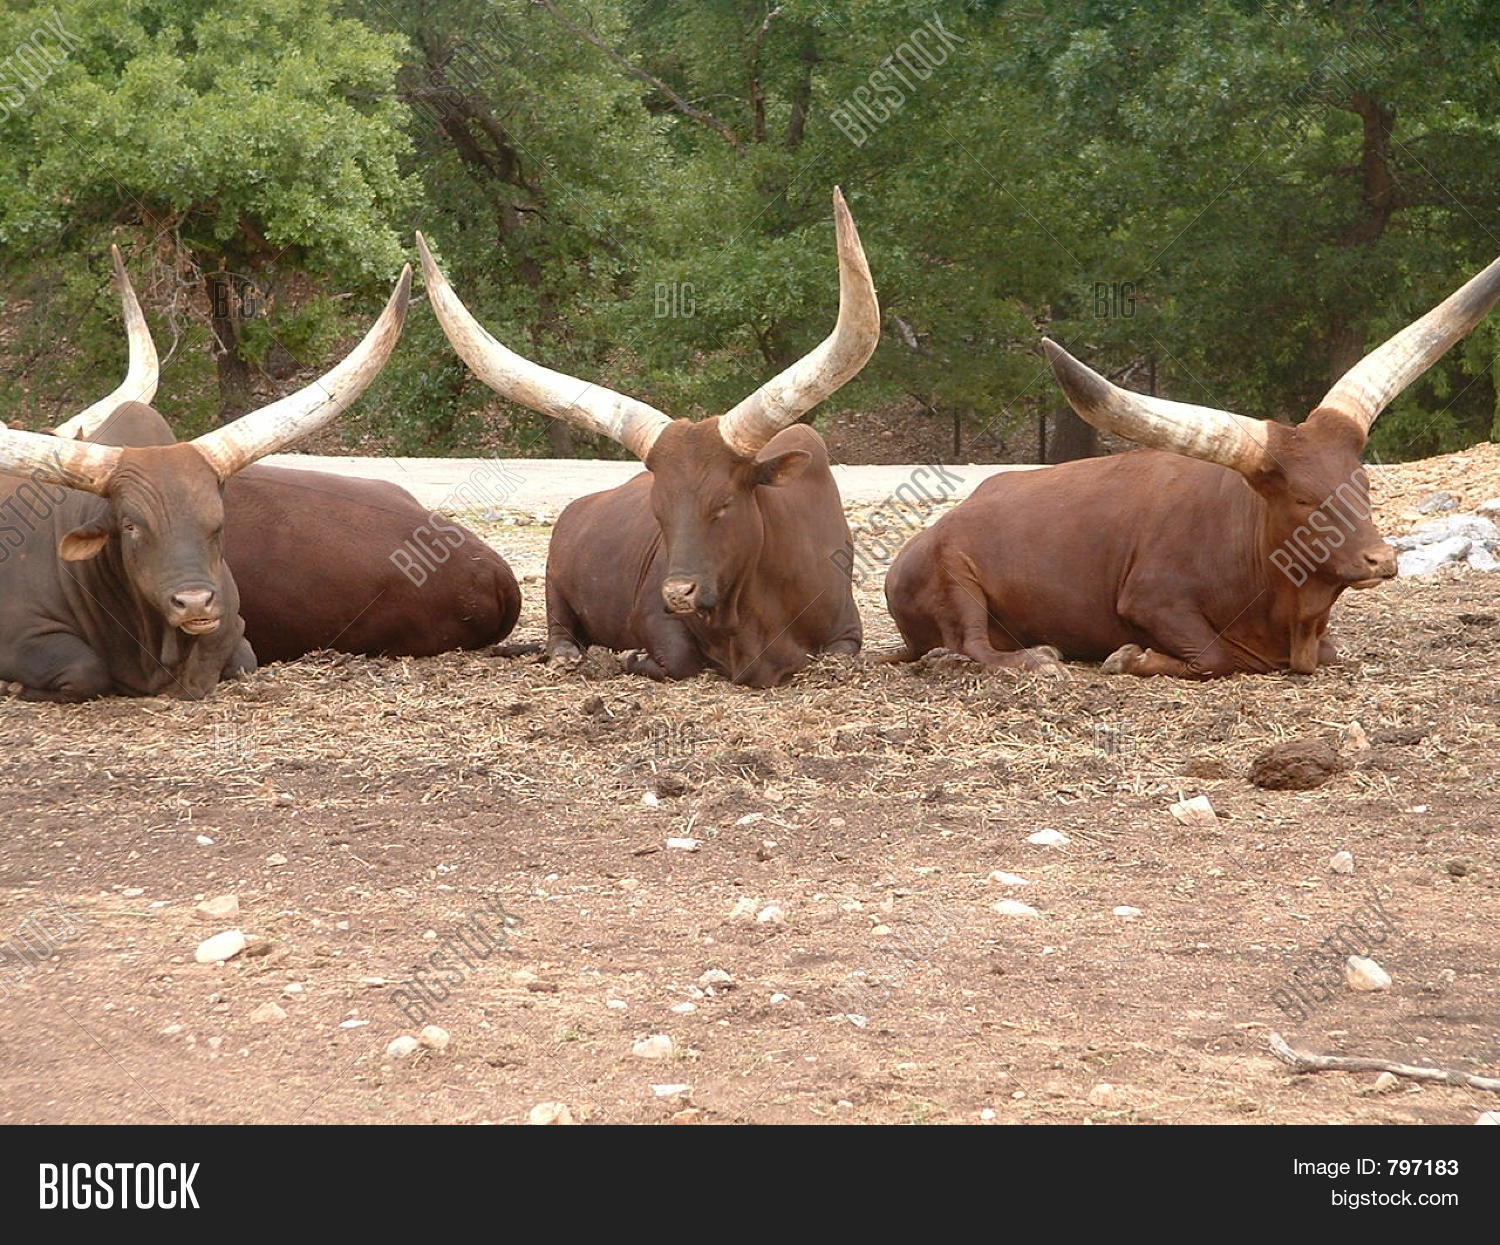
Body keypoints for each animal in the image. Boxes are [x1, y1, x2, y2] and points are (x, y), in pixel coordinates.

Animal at [0, 248, 411, 701]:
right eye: (130, 525)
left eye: (219, 522)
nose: (195, 601)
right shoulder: (21, 634)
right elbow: (84, 667)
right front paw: (19, 686)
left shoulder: (235, 628)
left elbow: (243, 658)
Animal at [416, 187, 880, 687]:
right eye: (657, 510)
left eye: (724, 504)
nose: (678, 593)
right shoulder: (654, 617)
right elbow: (677, 658)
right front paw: (631, 656)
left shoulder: (847, 634)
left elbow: (839, 654)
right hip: (555, 586)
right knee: (560, 633)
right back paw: (569, 654)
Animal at [885, 254, 1500, 679]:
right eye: (1303, 498)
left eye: (1363, 485)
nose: (1381, 560)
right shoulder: (1152, 600)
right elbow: (1214, 657)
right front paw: (1130, 658)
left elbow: (1325, 651)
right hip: (954, 575)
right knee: (971, 644)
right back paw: (1038, 658)